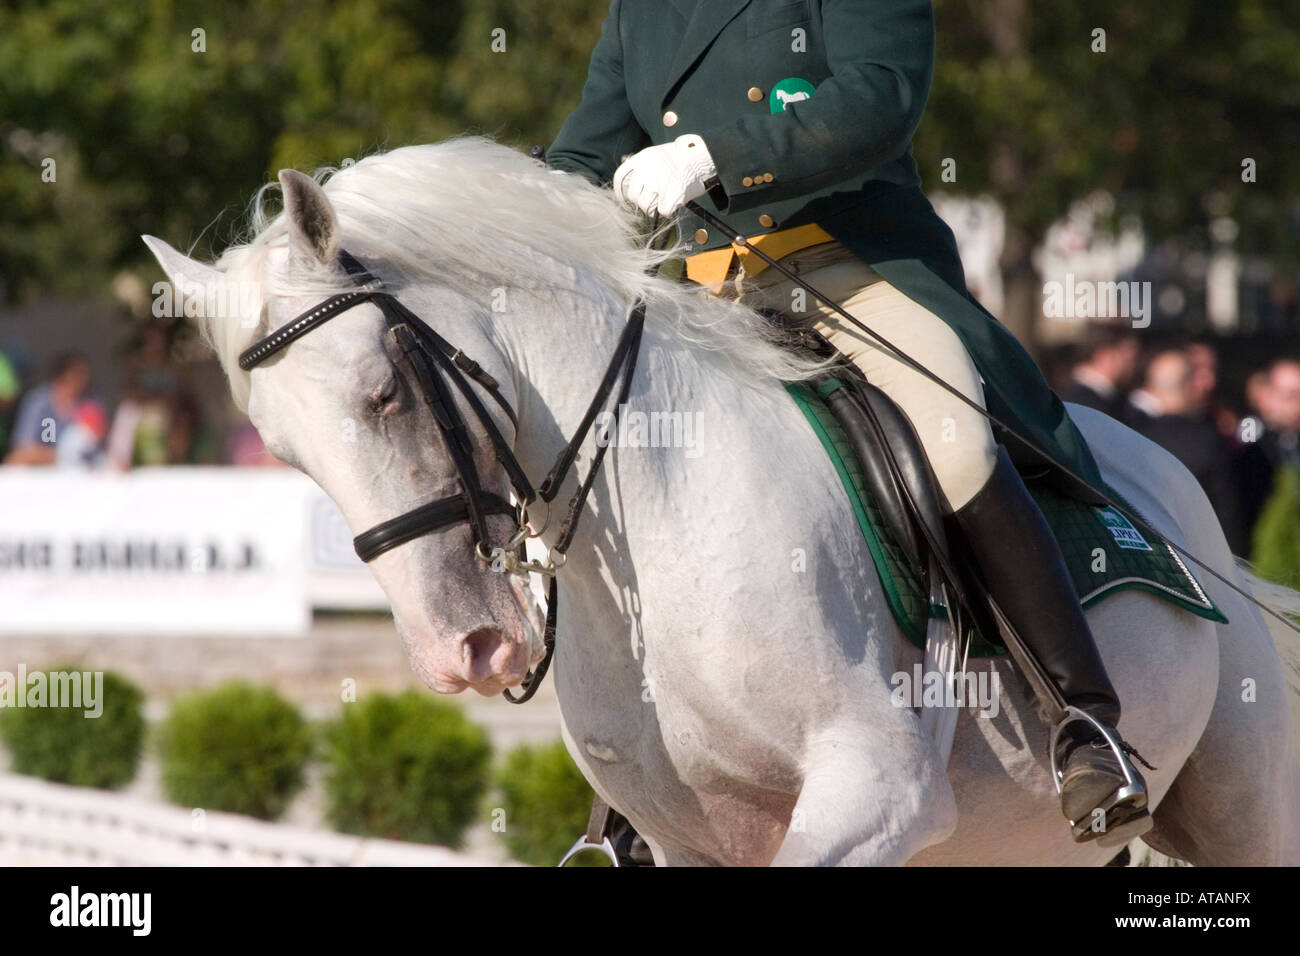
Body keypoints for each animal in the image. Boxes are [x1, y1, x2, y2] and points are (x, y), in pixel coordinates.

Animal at [144, 138, 1300, 865]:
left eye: (383, 392)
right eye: (285, 453)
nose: (463, 651)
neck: (663, 520)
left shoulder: (877, 790)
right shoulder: (691, 839)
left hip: (1241, 813)